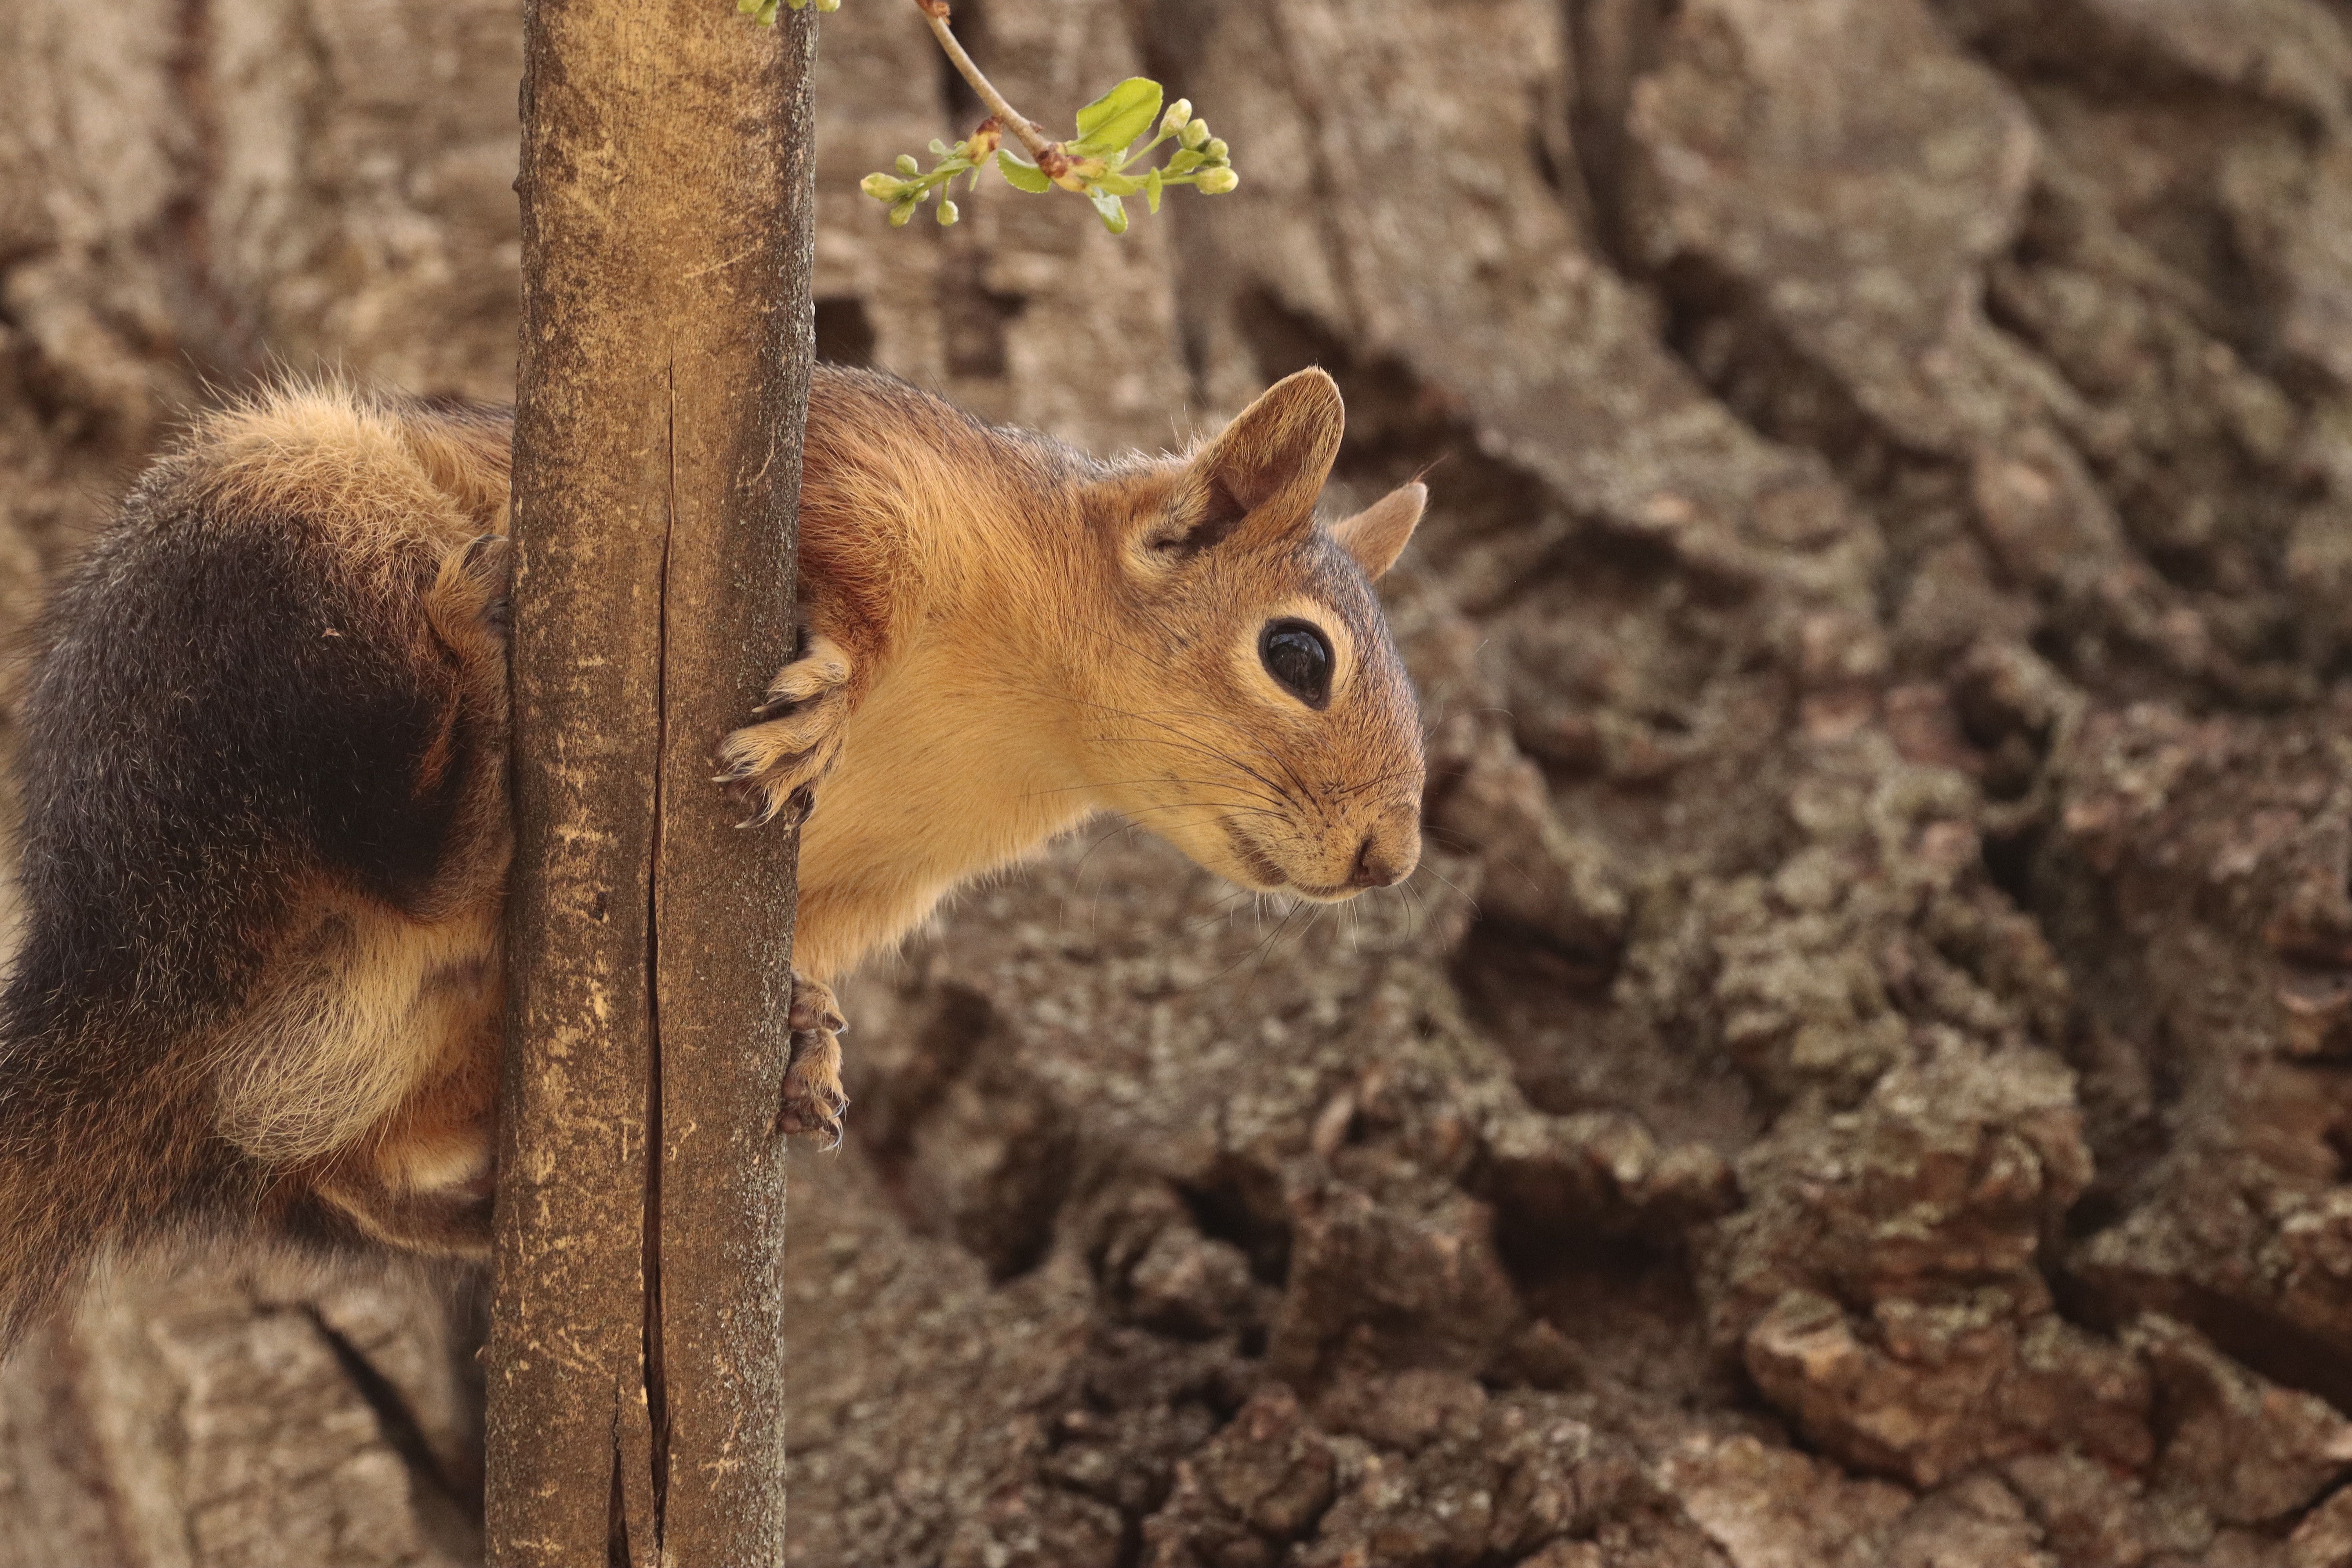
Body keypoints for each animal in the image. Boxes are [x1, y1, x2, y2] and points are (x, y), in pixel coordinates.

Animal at [0, 362, 1427, 1348]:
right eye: (1296, 655)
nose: (1390, 860)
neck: (1024, 733)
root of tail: (119, 962)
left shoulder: (876, 884)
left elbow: (814, 953)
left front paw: (811, 1037)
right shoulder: (866, 461)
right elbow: (844, 572)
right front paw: (829, 701)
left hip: (388, 1064)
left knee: (336, 1173)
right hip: (291, 547)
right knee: (401, 852)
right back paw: (484, 701)